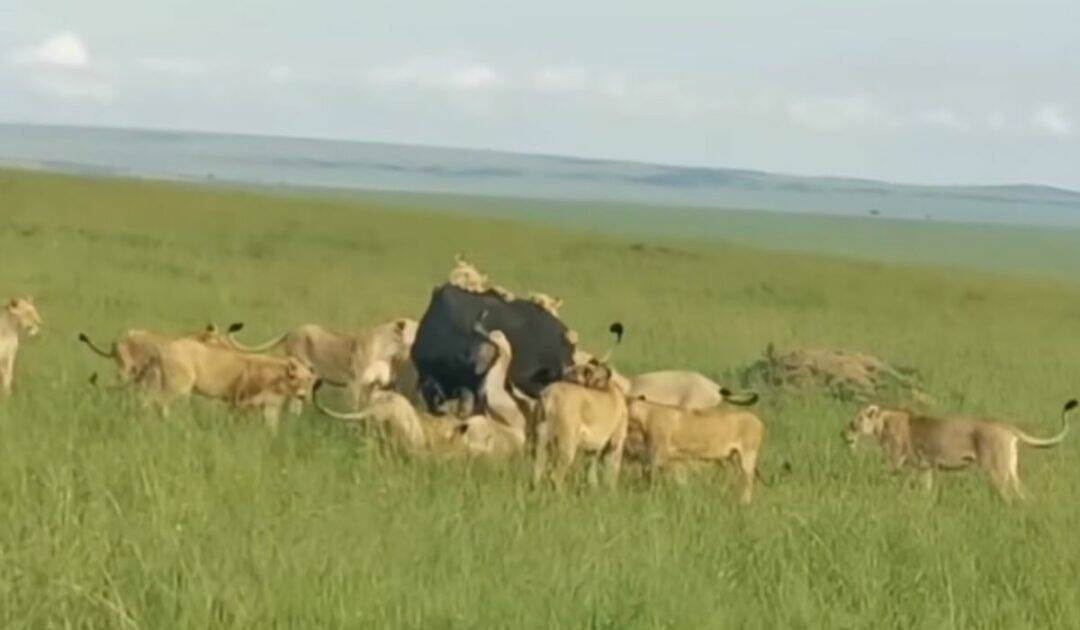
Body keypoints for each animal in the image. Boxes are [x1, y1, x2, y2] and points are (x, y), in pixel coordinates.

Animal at [140, 338, 317, 432]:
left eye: (309, 379)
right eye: (295, 376)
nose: (302, 395)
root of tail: (164, 348)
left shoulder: (269, 408)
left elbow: (271, 430)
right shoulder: (240, 402)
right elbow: (236, 424)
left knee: (149, 402)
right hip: (178, 386)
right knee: (158, 403)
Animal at [626, 396, 766, 503]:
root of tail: (759, 421)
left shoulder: (658, 455)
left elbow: (652, 479)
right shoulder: (674, 459)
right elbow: (679, 480)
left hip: (748, 455)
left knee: (748, 480)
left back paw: (744, 502)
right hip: (732, 457)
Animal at [843, 400, 1079, 500]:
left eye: (856, 421)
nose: (844, 433)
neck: (881, 423)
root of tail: (1005, 425)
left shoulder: (896, 462)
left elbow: (888, 481)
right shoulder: (925, 467)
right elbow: (925, 490)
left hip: (996, 470)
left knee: (1010, 494)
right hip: (1009, 469)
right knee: (1024, 494)